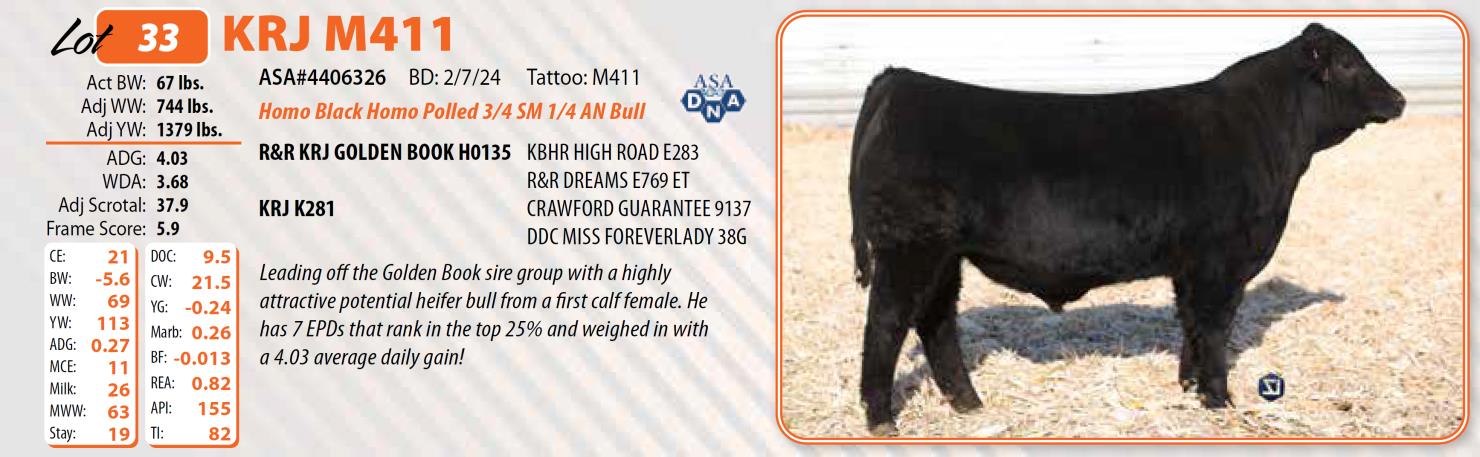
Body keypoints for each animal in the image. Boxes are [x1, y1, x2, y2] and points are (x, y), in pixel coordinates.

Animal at [848, 23, 1404, 436]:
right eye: (1350, 64)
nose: (1399, 99)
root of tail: (899, 81)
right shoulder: (1222, 261)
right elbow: (1215, 328)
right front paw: (1219, 400)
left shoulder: (1192, 266)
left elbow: (1192, 326)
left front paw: (1189, 389)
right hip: (910, 247)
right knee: (886, 323)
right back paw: (881, 420)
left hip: (945, 255)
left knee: (936, 322)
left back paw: (968, 404)